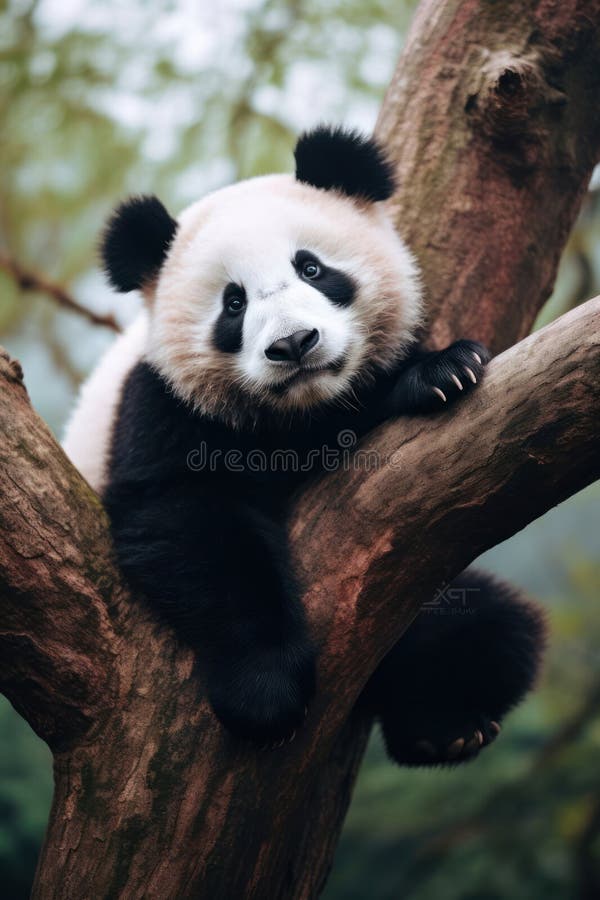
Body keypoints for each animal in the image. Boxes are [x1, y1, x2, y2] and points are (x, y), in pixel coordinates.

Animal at [63, 126, 546, 762]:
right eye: (234, 302)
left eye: (312, 268)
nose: (294, 343)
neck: (301, 408)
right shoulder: (161, 407)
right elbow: (183, 514)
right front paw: (265, 692)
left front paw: (443, 372)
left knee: (493, 627)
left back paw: (445, 721)